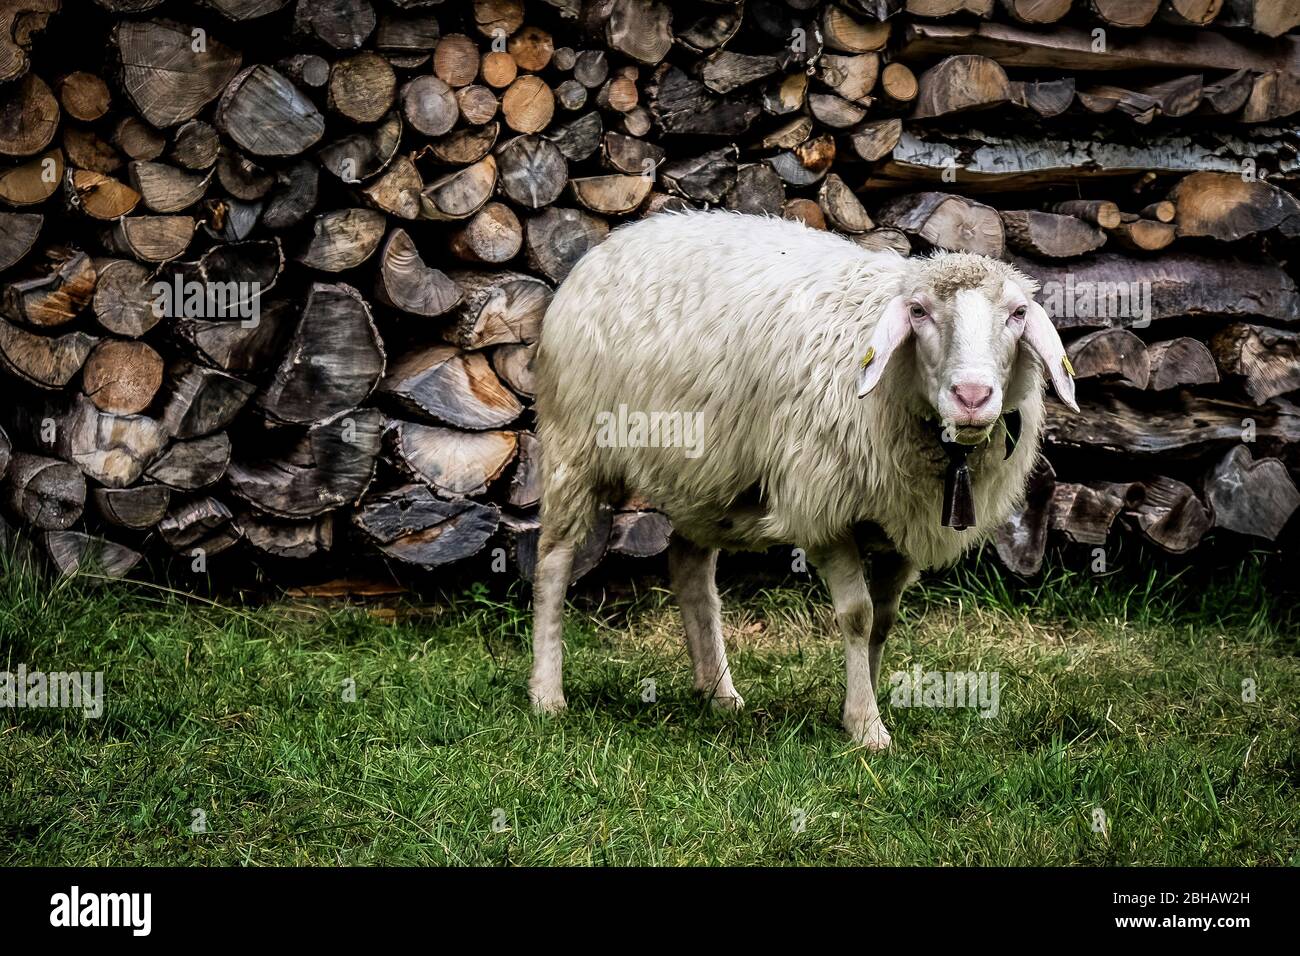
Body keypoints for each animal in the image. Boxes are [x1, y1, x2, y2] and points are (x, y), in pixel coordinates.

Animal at [529, 209, 1077, 749]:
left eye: (1018, 314)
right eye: (919, 311)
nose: (972, 397)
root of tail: (617, 238)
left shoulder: (907, 518)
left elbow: (884, 621)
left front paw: (863, 703)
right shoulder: (825, 507)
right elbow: (858, 616)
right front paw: (866, 727)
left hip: (704, 476)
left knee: (689, 568)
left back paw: (717, 692)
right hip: (575, 446)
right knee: (553, 561)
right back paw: (547, 694)